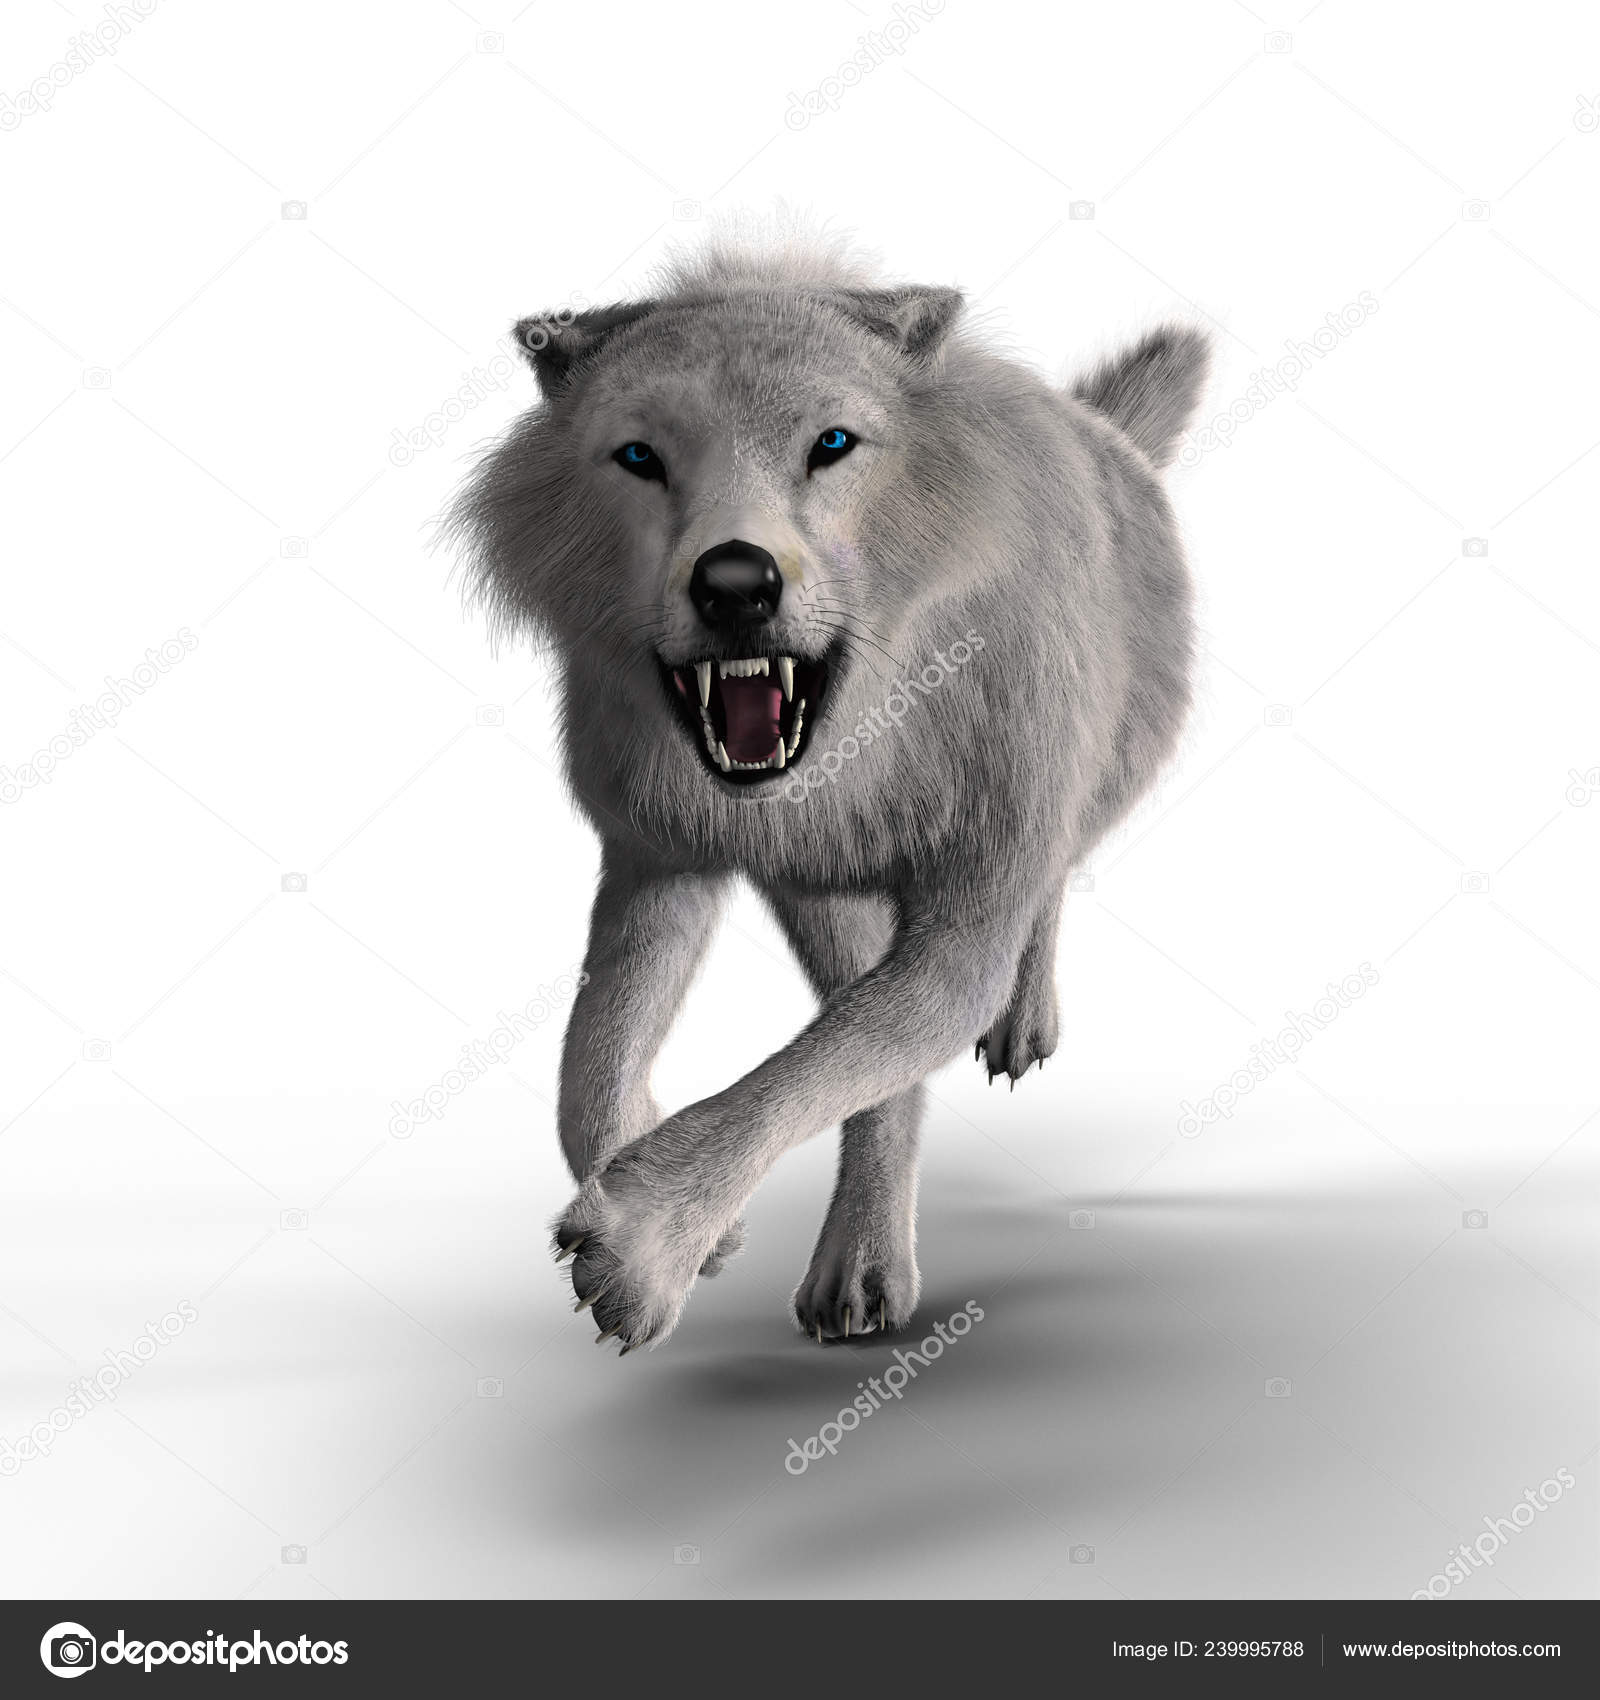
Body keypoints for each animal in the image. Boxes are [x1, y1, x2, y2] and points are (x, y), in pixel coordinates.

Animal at [447, 229, 1209, 1353]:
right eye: (640, 457)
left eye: (833, 444)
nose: (735, 583)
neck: (863, 754)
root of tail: (1099, 428)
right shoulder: (659, 859)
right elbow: (592, 1060)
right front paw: (701, 1218)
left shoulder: (967, 913)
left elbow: (813, 1066)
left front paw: (643, 1240)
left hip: (1082, 784)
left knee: (1050, 883)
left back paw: (1021, 1021)